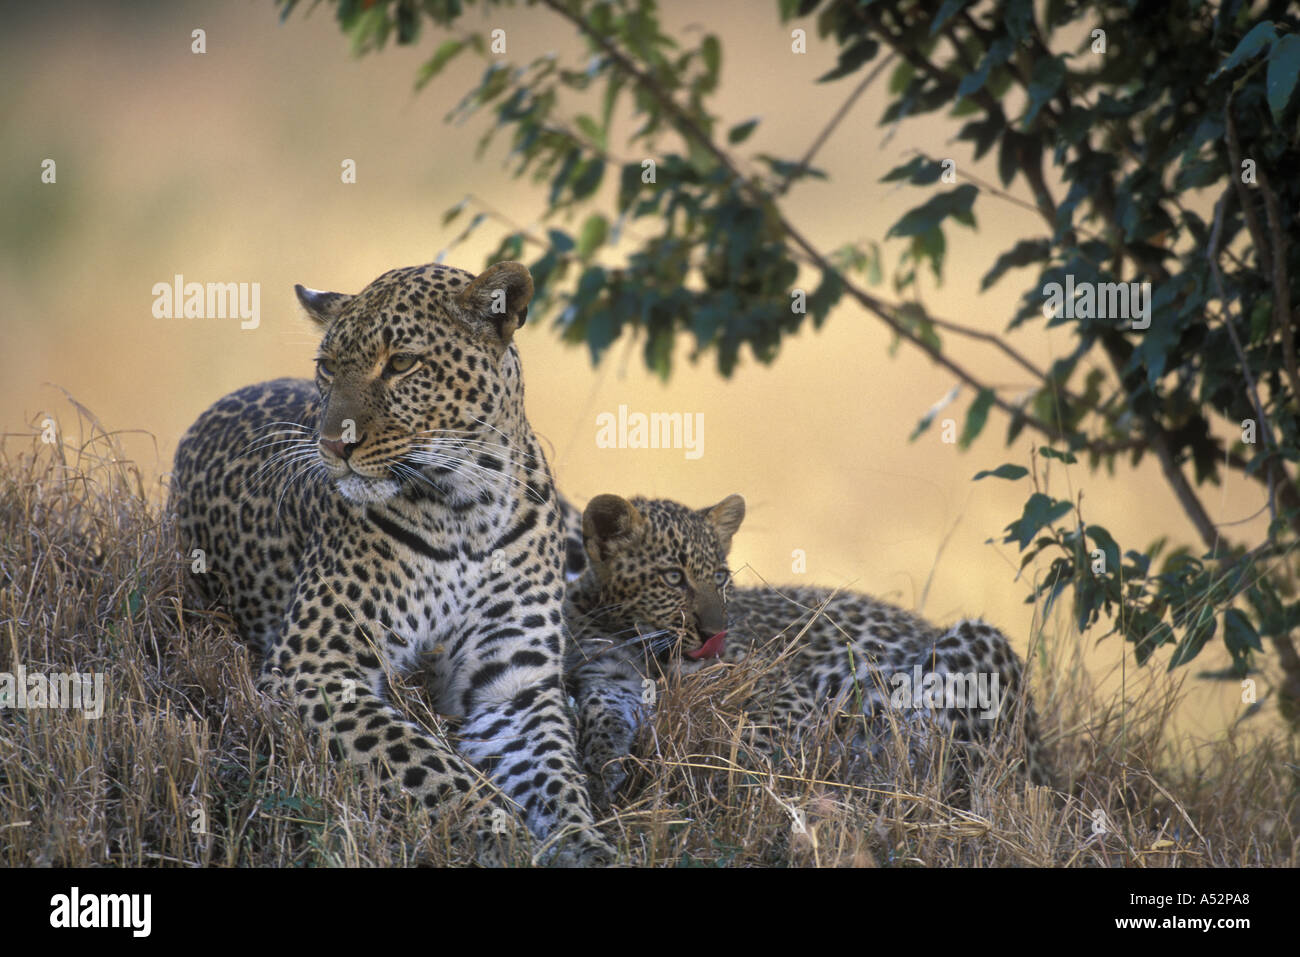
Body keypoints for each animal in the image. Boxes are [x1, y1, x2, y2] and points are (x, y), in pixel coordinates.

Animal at [171, 260, 612, 864]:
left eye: (402, 364)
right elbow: (425, 761)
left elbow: (556, 775)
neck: (466, 508)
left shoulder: (512, 684)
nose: (333, 446)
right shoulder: (316, 668)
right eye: (328, 368)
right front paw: (503, 832)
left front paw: (585, 844)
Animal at [563, 492, 1053, 810]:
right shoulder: (606, 674)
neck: (647, 651)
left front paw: (736, 774)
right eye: (672, 578)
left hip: (973, 649)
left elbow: (758, 733)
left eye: (719, 577)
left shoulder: (777, 687)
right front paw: (603, 765)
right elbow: (601, 710)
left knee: (922, 764)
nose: (715, 633)